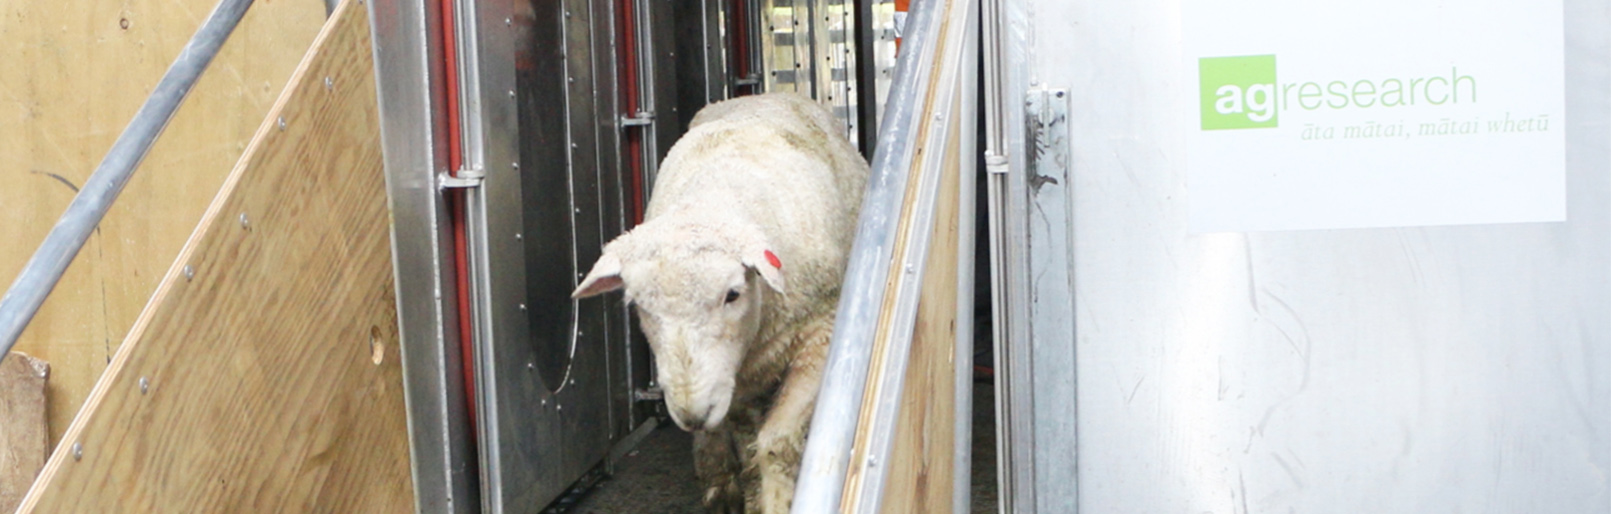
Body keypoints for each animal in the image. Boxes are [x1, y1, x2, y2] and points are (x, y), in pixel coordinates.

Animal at [572, 92, 867, 513]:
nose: (693, 414)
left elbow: (775, 444)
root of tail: (757, 94)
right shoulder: (735, 376)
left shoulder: (820, 337)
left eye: (732, 294)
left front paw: (776, 500)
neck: (711, 201)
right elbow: (747, 441)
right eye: (640, 305)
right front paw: (750, 492)